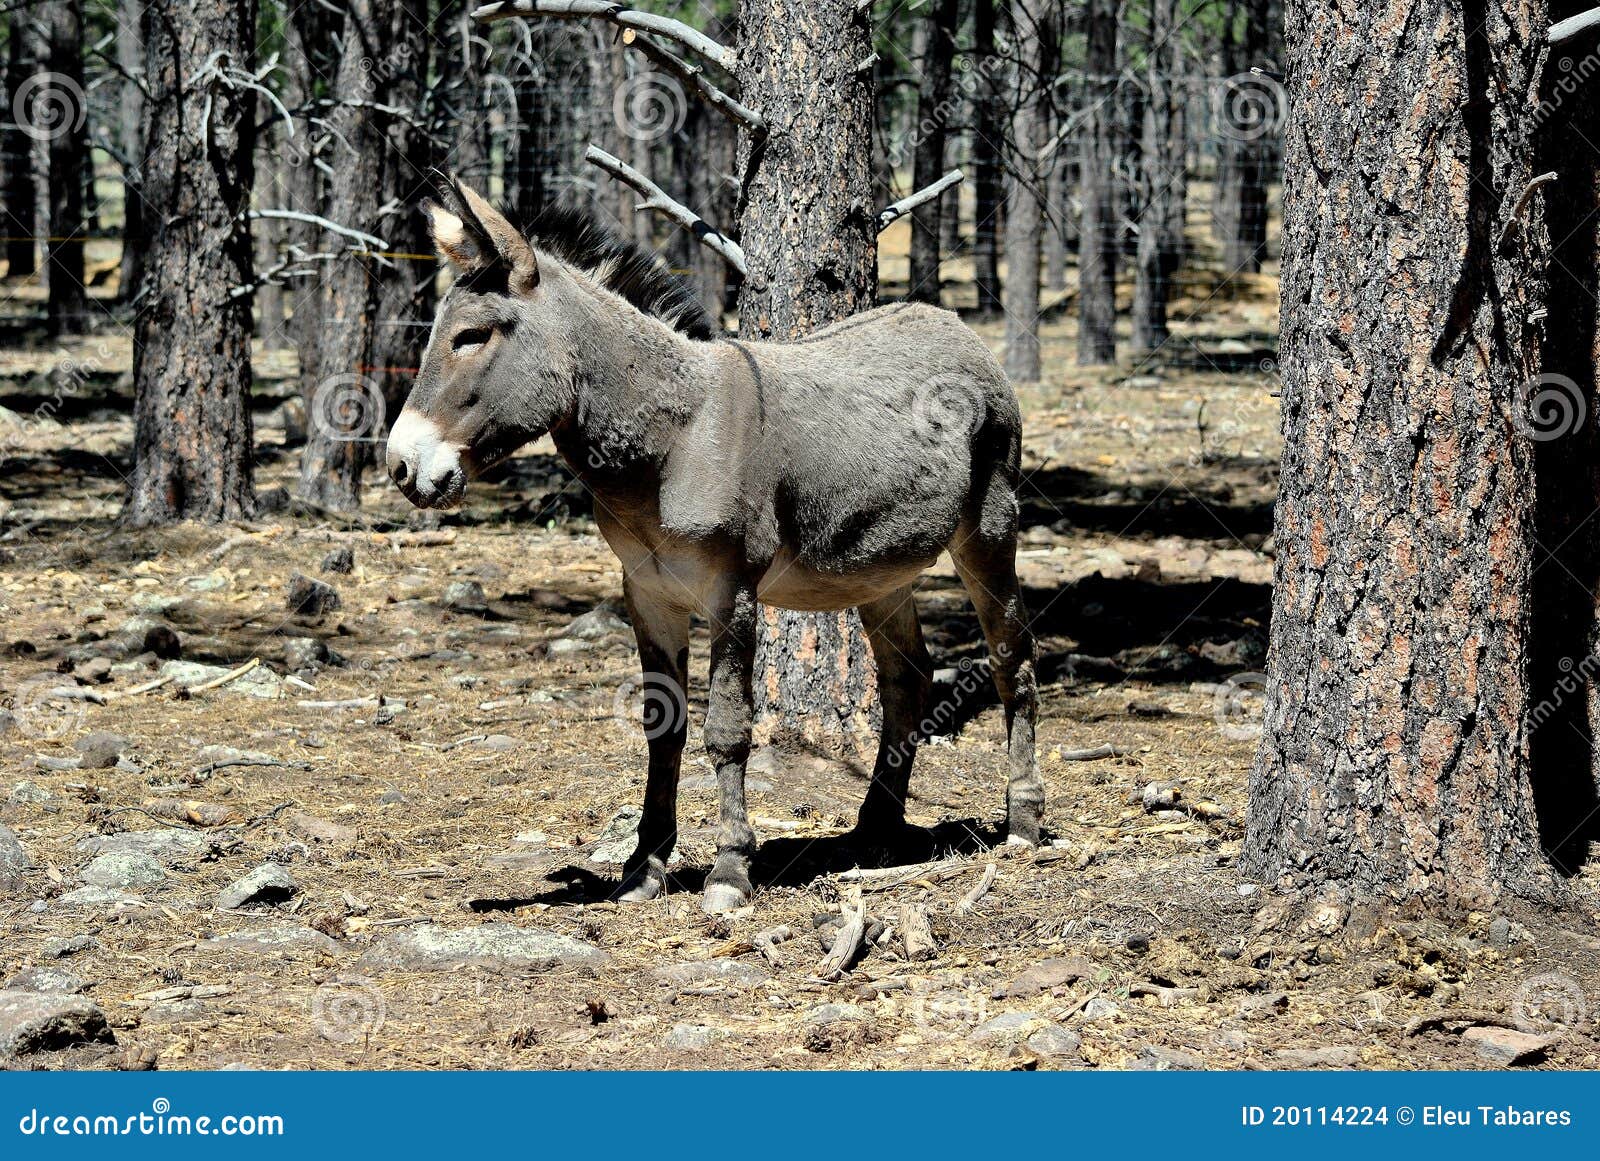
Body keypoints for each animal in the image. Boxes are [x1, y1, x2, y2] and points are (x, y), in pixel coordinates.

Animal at [386, 178, 1040, 913]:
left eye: (470, 336)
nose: (399, 466)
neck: (671, 442)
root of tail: (956, 327)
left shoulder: (733, 593)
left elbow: (727, 729)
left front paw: (729, 869)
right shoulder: (647, 594)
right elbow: (661, 729)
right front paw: (644, 866)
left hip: (988, 532)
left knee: (1013, 659)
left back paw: (1024, 821)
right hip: (879, 570)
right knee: (909, 679)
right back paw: (875, 828)